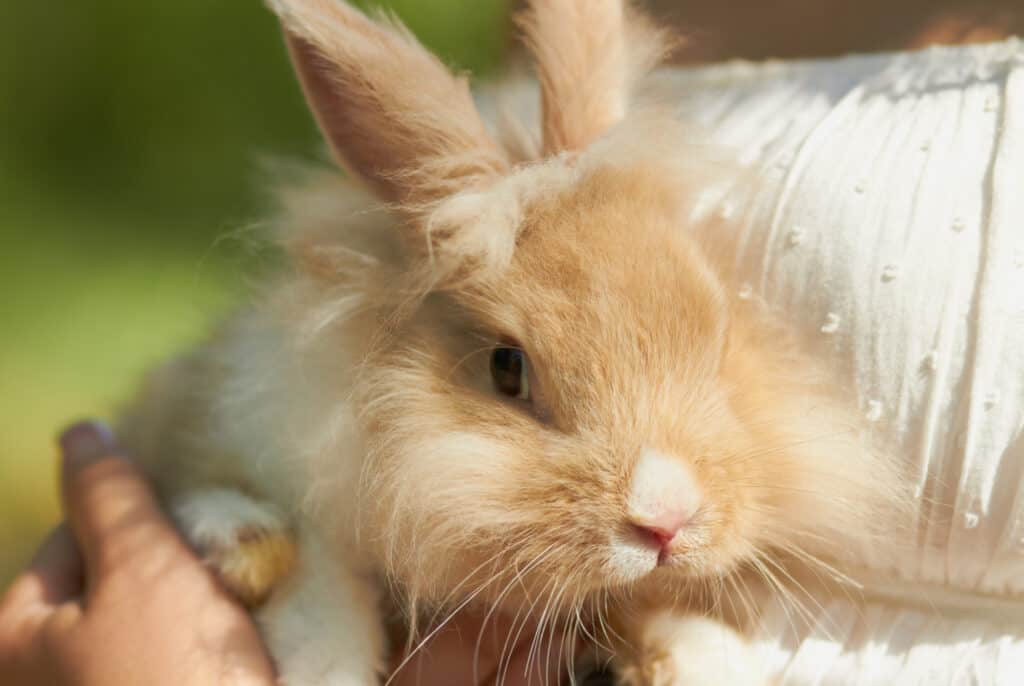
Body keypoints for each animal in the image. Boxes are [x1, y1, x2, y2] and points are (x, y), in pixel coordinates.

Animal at [119, 0, 909, 684]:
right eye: (507, 368)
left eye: (715, 338)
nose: (667, 520)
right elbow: (320, 589)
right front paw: (328, 671)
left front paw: (710, 659)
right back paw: (241, 538)